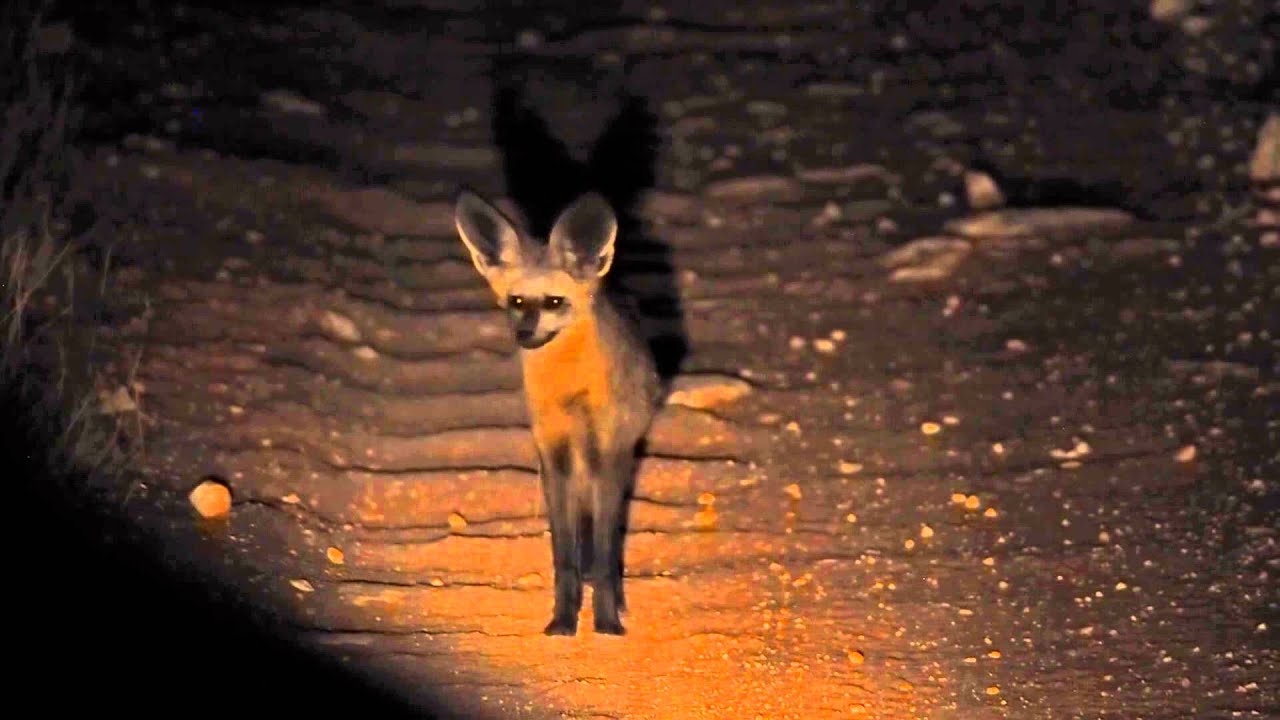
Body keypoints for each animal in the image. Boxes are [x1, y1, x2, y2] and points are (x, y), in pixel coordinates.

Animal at [453, 188, 661, 636]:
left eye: (553, 302)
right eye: (516, 302)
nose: (524, 334)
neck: (569, 397)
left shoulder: (605, 454)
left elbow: (604, 554)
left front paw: (606, 623)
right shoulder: (553, 455)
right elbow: (564, 556)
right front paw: (563, 620)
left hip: (619, 459)